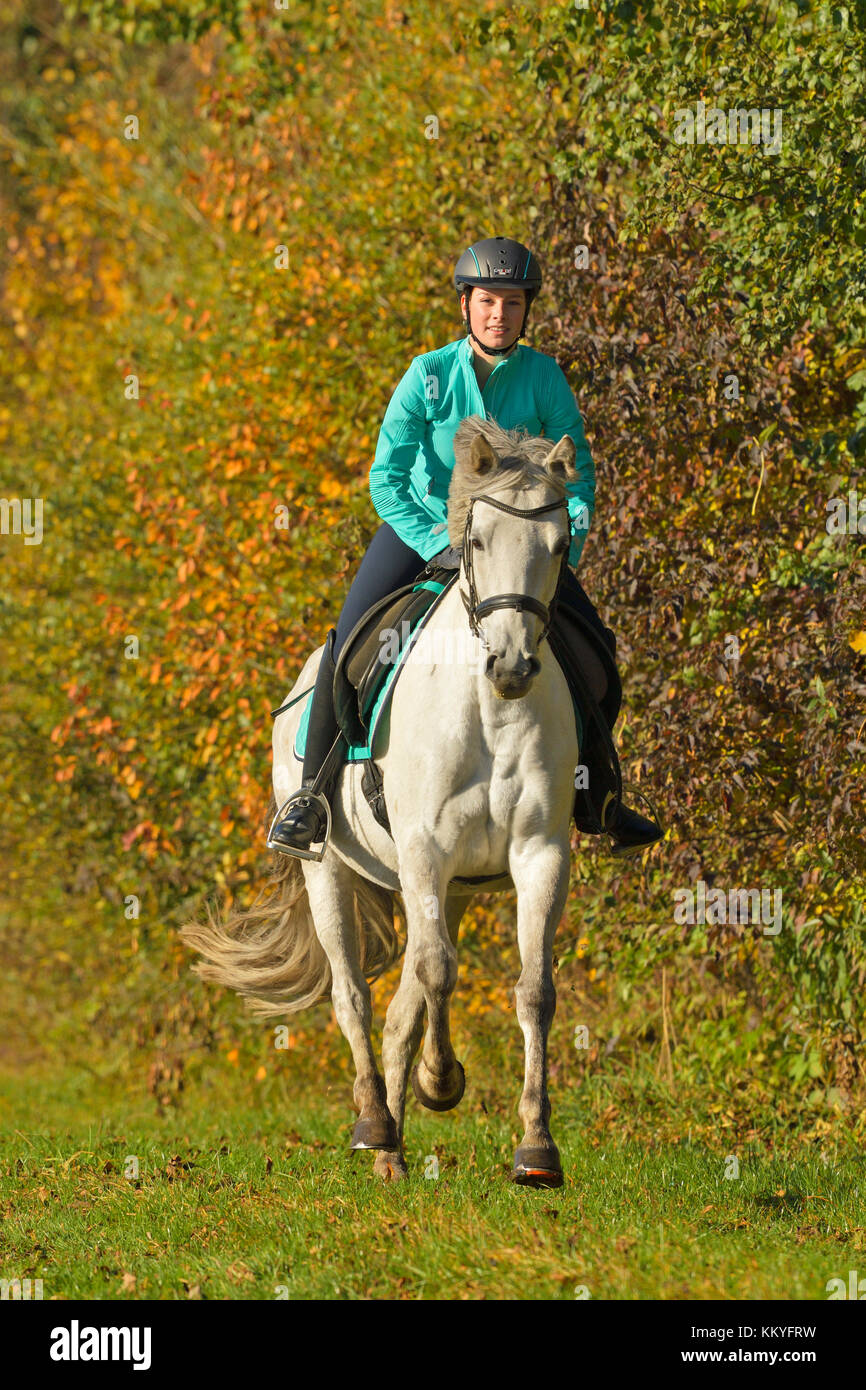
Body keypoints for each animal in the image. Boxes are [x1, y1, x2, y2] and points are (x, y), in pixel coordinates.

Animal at [182, 415, 583, 1187]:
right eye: (478, 542)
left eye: (558, 545)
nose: (512, 666)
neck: (490, 710)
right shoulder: (426, 849)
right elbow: (435, 974)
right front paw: (438, 1085)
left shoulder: (537, 853)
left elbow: (531, 989)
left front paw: (537, 1147)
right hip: (330, 872)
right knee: (355, 995)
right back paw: (374, 1123)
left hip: (449, 887)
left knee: (402, 1002)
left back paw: (395, 1145)